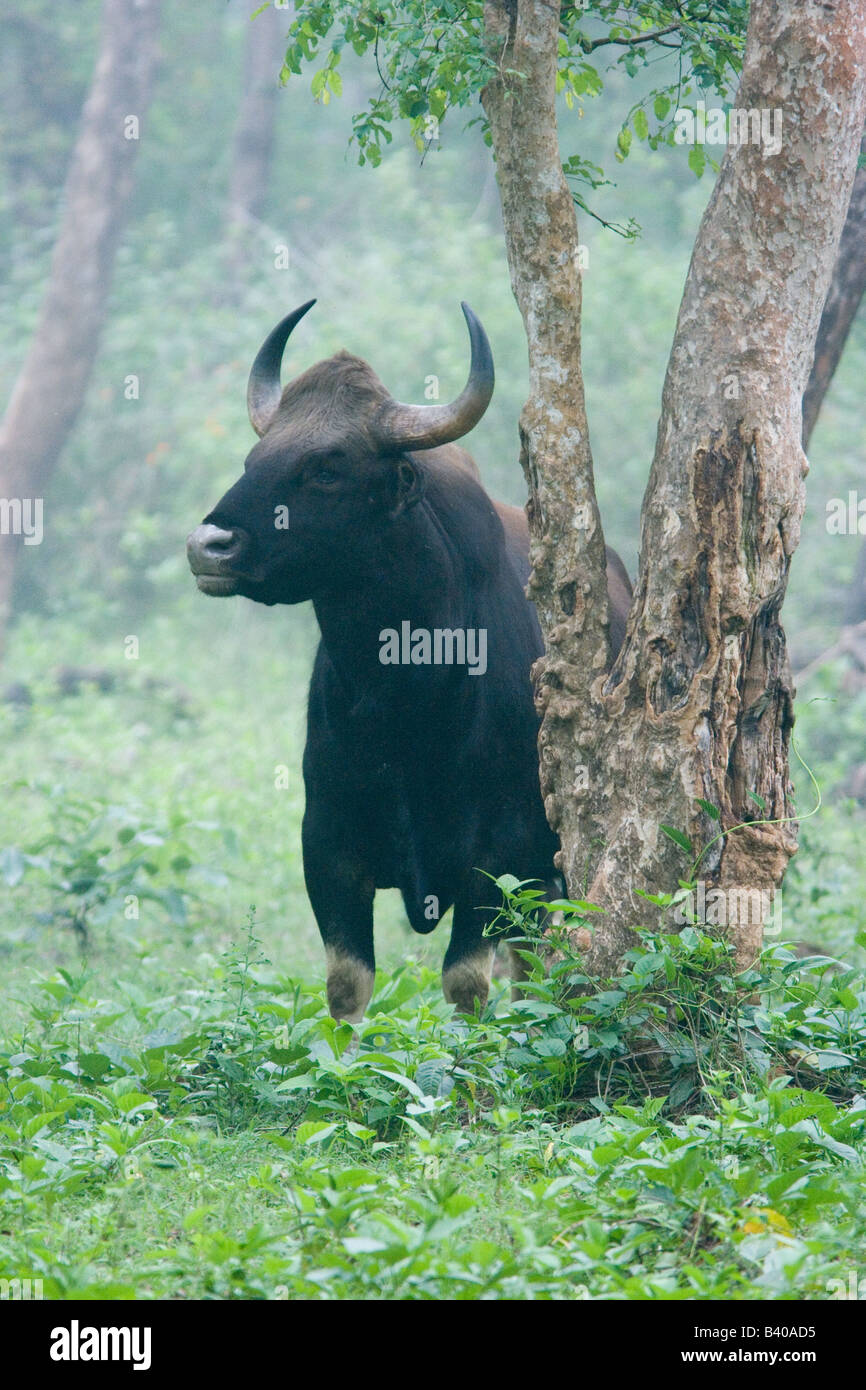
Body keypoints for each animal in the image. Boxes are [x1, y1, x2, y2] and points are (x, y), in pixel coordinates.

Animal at [187, 301, 632, 1021]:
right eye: (256, 457)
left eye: (327, 467)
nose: (210, 545)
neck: (405, 698)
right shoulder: (327, 847)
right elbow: (346, 983)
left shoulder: (500, 857)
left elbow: (466, 985)